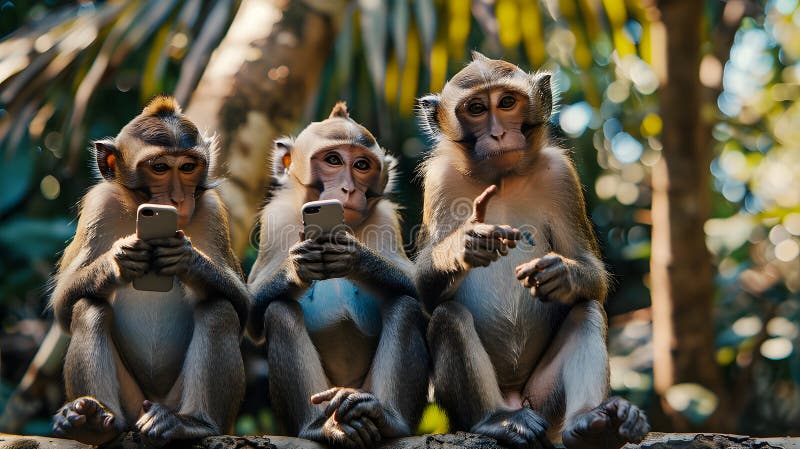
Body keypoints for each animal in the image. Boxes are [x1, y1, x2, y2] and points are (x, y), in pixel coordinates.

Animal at [49, 96, 249, 447]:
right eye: (159, 168)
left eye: (187, 167)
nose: (178, 198)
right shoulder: (98, 206)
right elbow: (63, 303)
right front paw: (118, 262)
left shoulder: (212, 211)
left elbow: (241, 304)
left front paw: (186, 258)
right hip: (132, 404)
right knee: (88, 308)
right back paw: (94, 423)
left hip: (178, 403)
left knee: (219, 310)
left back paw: (192, 423)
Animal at [247, 102, 429, 449]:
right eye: (333, 160)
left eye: (361, 165)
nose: (347, 188)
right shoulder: (275, 220)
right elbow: (250, 313)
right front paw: (297, 268)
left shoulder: (385, 220)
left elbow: (422, 294)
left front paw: (354, 257)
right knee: (280, 312)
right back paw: (318, 427)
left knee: (405, 306)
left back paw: (386, 419)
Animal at [414, 52, 650, 449]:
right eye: (476, 109)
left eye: (507, 103)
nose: (497, 133)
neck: (501, 177)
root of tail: (514, 397)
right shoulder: (439, 180)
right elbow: (425, 291)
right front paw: (467, 243)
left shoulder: (561, 176)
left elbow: (588, 269)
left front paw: (561, 274)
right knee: (449, 317)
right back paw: (498, 420)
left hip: (544, 400)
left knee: (586, 310)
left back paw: (590, 424)